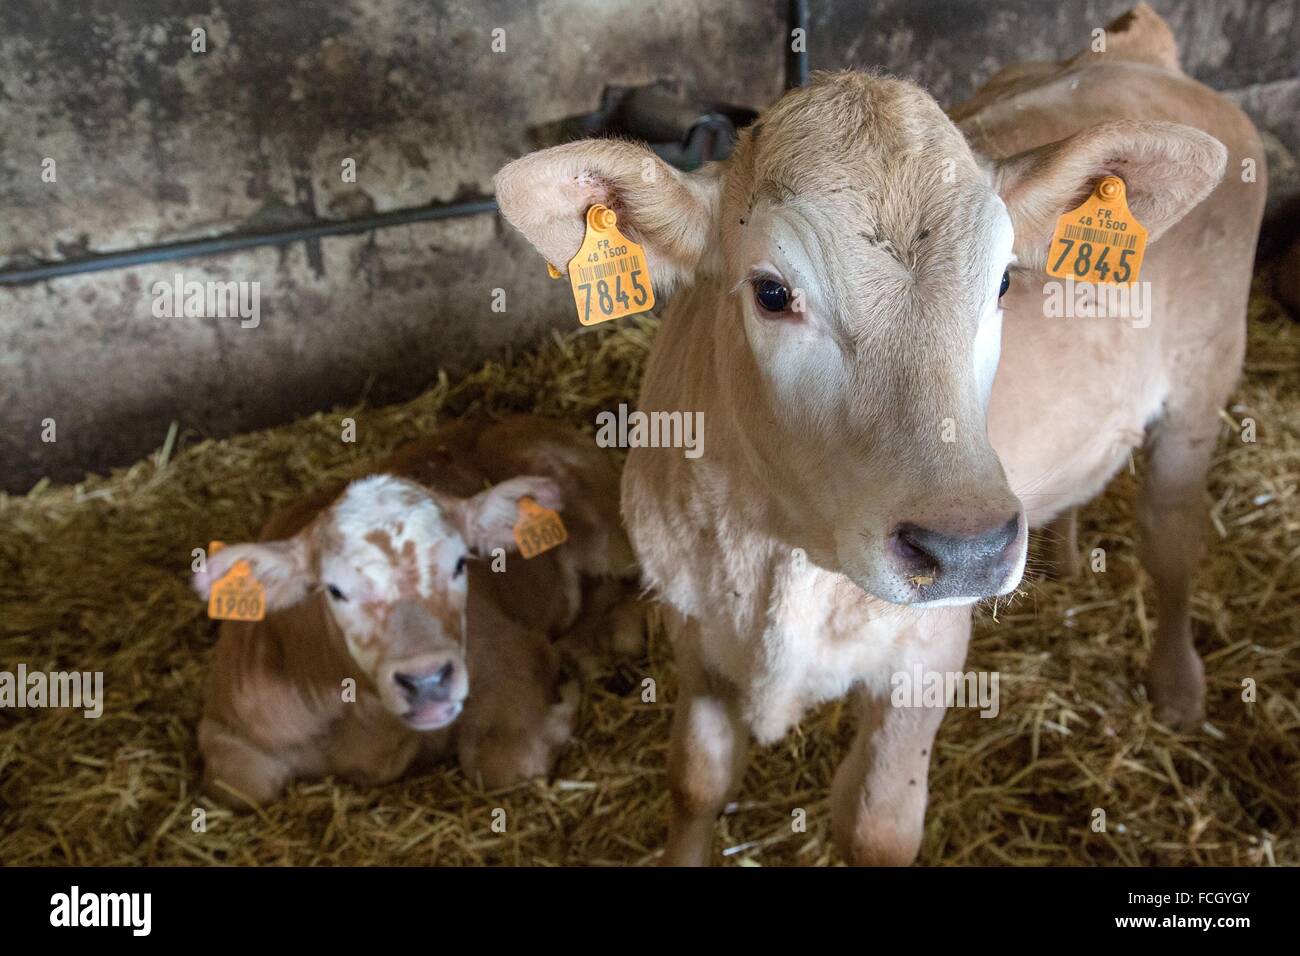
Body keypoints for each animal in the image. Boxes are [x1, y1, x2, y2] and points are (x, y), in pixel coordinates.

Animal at [193, 416, 642, 808]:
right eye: (335, 589)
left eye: (460, 563)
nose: (425, 680)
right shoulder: (225, 721)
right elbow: (243, 787)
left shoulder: (514, 655)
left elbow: (505, 766)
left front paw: (564, 696)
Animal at [494, 4, 1265, 865]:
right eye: (771, 292)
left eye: (1003, 281)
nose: (967, 549)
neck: (782, 554)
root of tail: (1148, 58)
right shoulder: (692, 629)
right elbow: (696, 781)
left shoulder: (926, 656)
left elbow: (876, 824)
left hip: (1202, 380)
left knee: (1171, 533)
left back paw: (1177, 686)